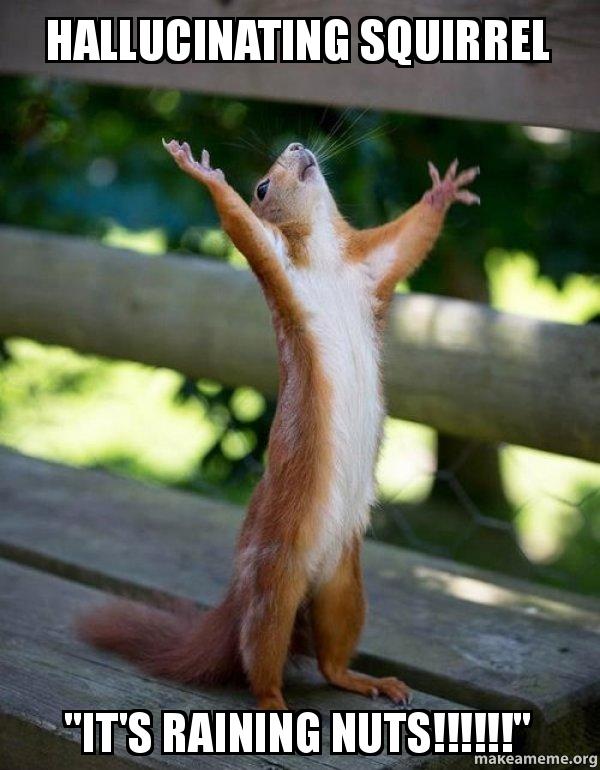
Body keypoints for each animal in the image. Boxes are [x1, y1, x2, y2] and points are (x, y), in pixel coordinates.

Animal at [79, 138, 479, 710]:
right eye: (262, 187)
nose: (296, 145)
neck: (327, 258)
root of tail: (239, 597)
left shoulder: (371, 267)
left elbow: (410, 240)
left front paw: (442, 191)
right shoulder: (276, 264)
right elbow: (241, 226)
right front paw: (204, 174)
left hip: (344, 586)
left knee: (332, 658)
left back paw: (366, 680)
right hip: (274, 582)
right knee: (260, 655)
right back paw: (274, 702)